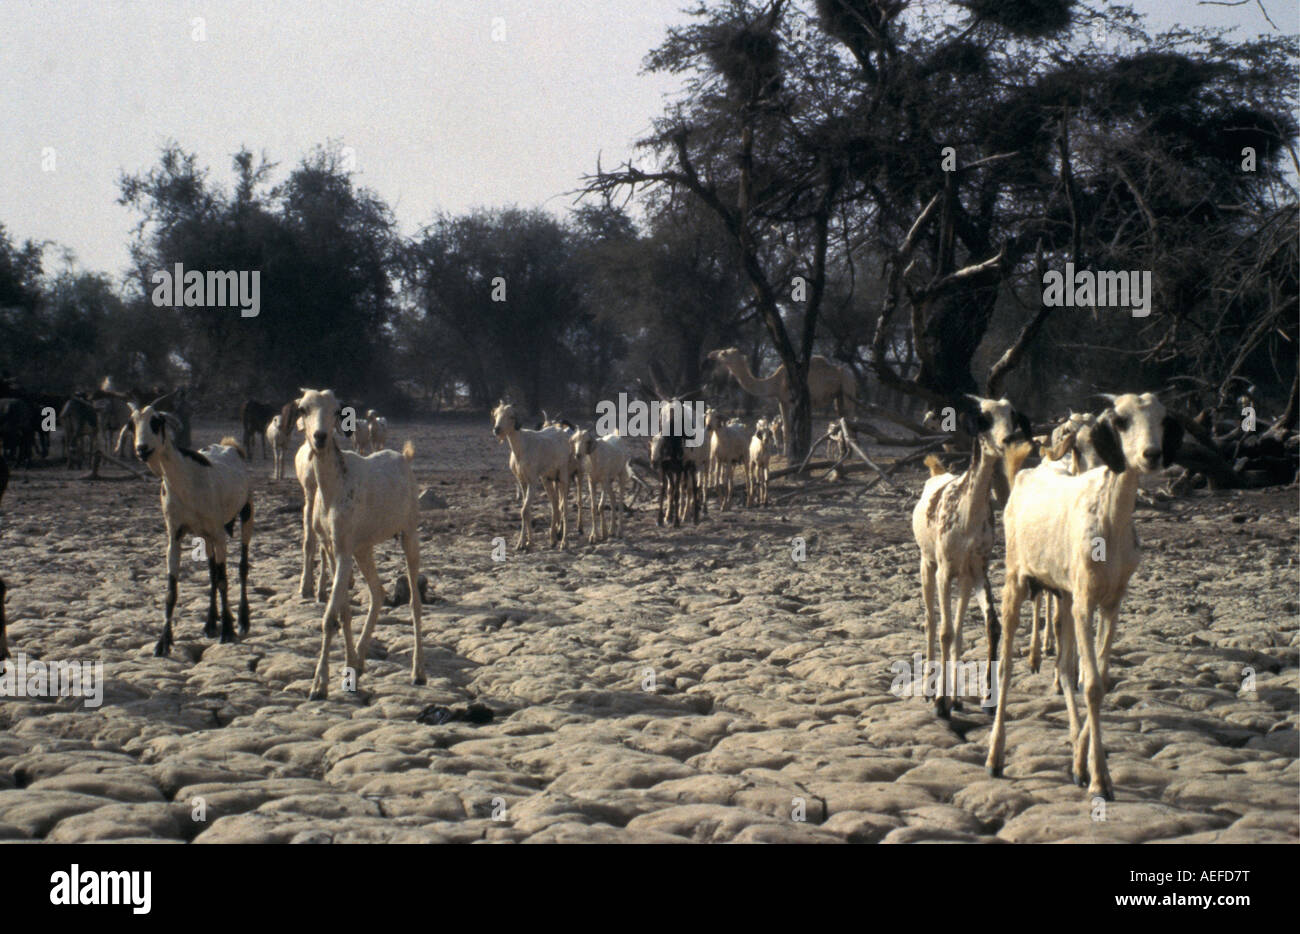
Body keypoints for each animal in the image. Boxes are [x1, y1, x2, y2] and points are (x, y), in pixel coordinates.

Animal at [129, 402, 254, 656]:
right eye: (132, 424)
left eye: (156, 422)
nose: (142, 449)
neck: (187, 481)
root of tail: (231, 447)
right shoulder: (175, 535)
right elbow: (172, 590)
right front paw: (163, 642)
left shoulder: (218, 532)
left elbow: (224, 579)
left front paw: (228, 630)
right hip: (206, 536)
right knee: (212, 572)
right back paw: (210, 623)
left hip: (246, 511)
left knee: (242, 566)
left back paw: (242, 621)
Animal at [297, 388, 424, 699]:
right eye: (304, 408)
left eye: (335, 410)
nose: (319, 437)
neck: (334, 489)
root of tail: (404, 458)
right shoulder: (333, 549)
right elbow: (342, 610)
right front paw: (349, 666)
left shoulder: (344, 552)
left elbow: (330, 615)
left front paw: (318, 685)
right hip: (364, 548)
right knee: (378, 593)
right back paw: (360, 659)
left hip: (409, 532)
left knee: (414, 602)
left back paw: (418, 672)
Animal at [911, 396, 1031, 718]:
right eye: (984, 417)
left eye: (1012, 415)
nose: (1009, 439)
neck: (966, 513)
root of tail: (937, 474)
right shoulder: (944, 570)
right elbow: (944, 631)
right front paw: (940, 702)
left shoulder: (977, 571)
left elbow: (990, 625)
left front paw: (988, 700)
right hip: (927, 565)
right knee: (931, 621)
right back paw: (930, 690)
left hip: (963, 580)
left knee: (960, 626)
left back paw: (955, 698)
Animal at [987, 392, 1182, 799]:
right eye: (1121, 420)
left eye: (1161, 418)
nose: (1152, 454)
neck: (1109, 522)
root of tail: (1029, 474)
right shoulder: (1083, 602)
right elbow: (1090, 684)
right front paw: (1100, 781)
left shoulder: (1111, 602)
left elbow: (1097, 680)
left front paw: (1082, 762)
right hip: (1016, 579)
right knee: (1008, 665)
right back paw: (995, 756)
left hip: (1061, 592)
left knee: (1063, 666)